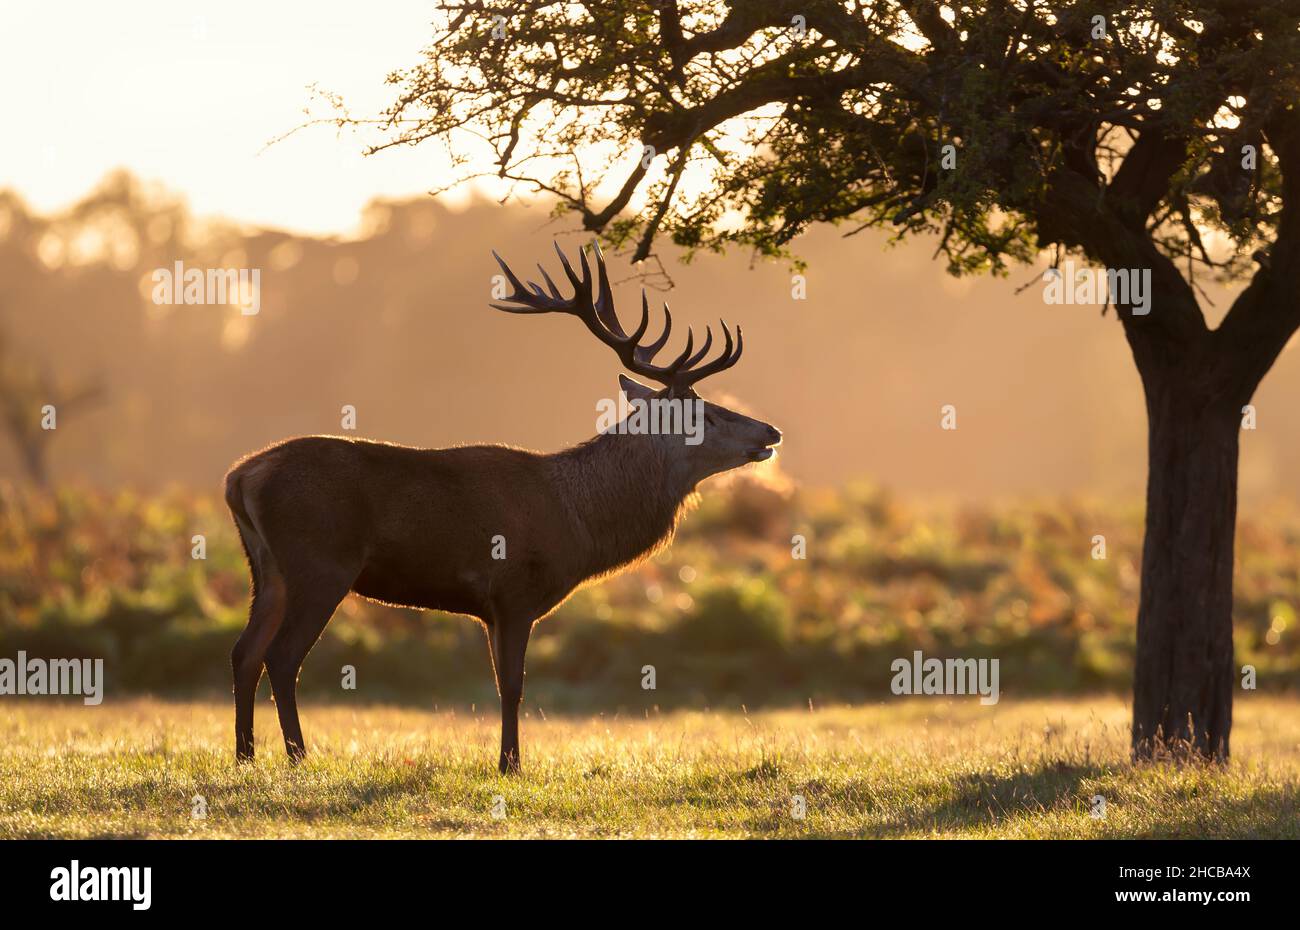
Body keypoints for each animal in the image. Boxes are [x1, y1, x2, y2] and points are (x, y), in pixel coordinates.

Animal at [224, 241, 781, 774]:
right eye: (706, 414)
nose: (770, 431)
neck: (578, 521)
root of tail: (240, 476)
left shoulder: (493, 608)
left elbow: (502, 684)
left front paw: (507, 760)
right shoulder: (514, 590)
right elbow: (513, 685)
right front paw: (510, 765)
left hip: (268, 569)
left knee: (244, 651)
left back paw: (246, 755)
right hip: (321, 563)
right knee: (282, 656)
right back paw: (297, 756)